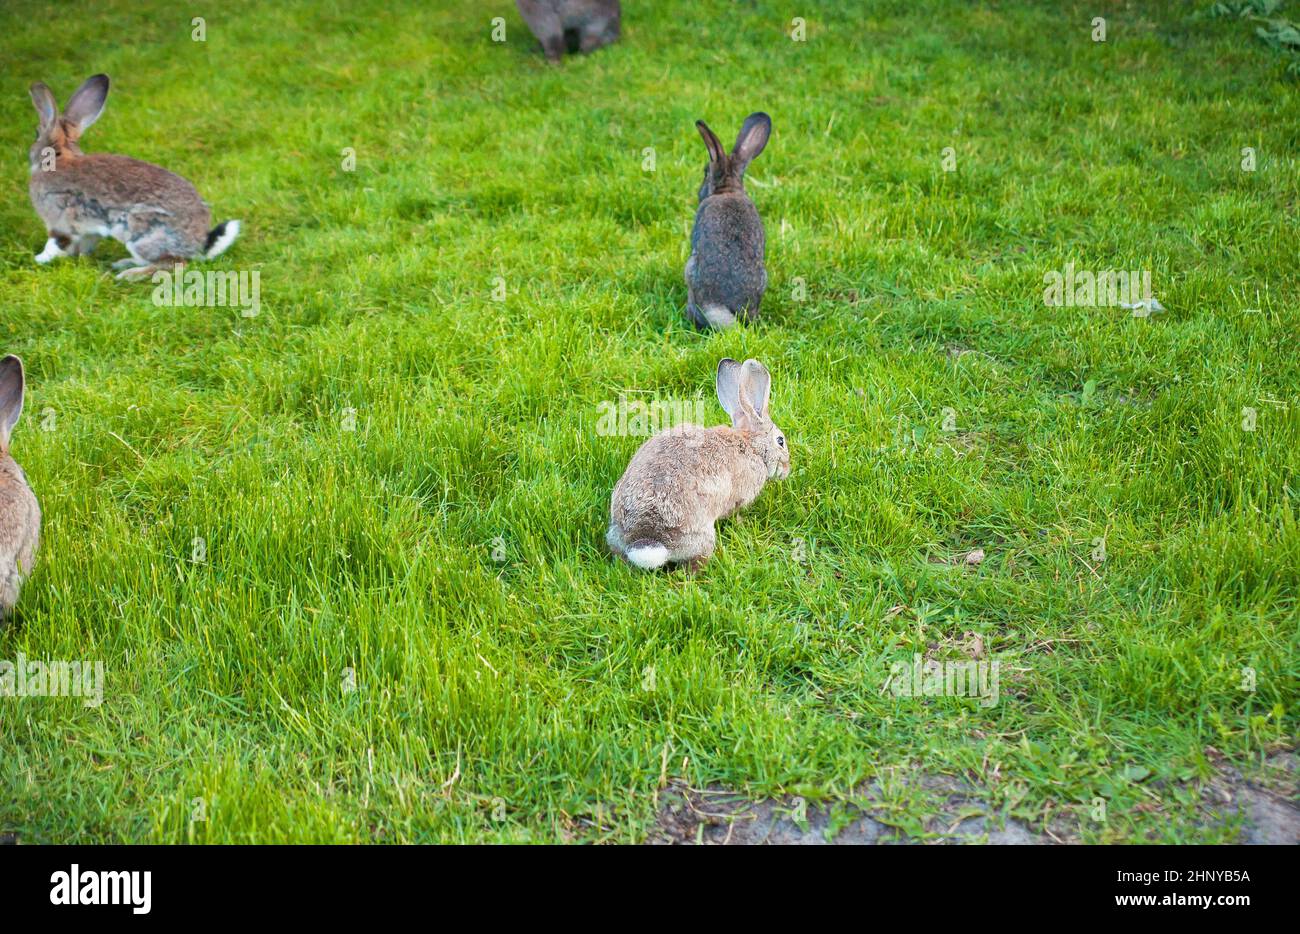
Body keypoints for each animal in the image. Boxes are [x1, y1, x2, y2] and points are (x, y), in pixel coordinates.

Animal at [28, 74, 240, 281]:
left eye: (36, 134)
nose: (30, 153)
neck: (59, 158)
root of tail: (199, 242)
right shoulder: (88, 229)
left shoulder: (59, 221)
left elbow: (55, 243)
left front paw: (39, 259)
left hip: (140, 234)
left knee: (174, 264)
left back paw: (129, 274)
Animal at [607, 358, 789, 571]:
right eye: (780, 441)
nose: (787, 470)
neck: (752, 445)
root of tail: (647, 540)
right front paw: (741, 521)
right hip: (702, 538)